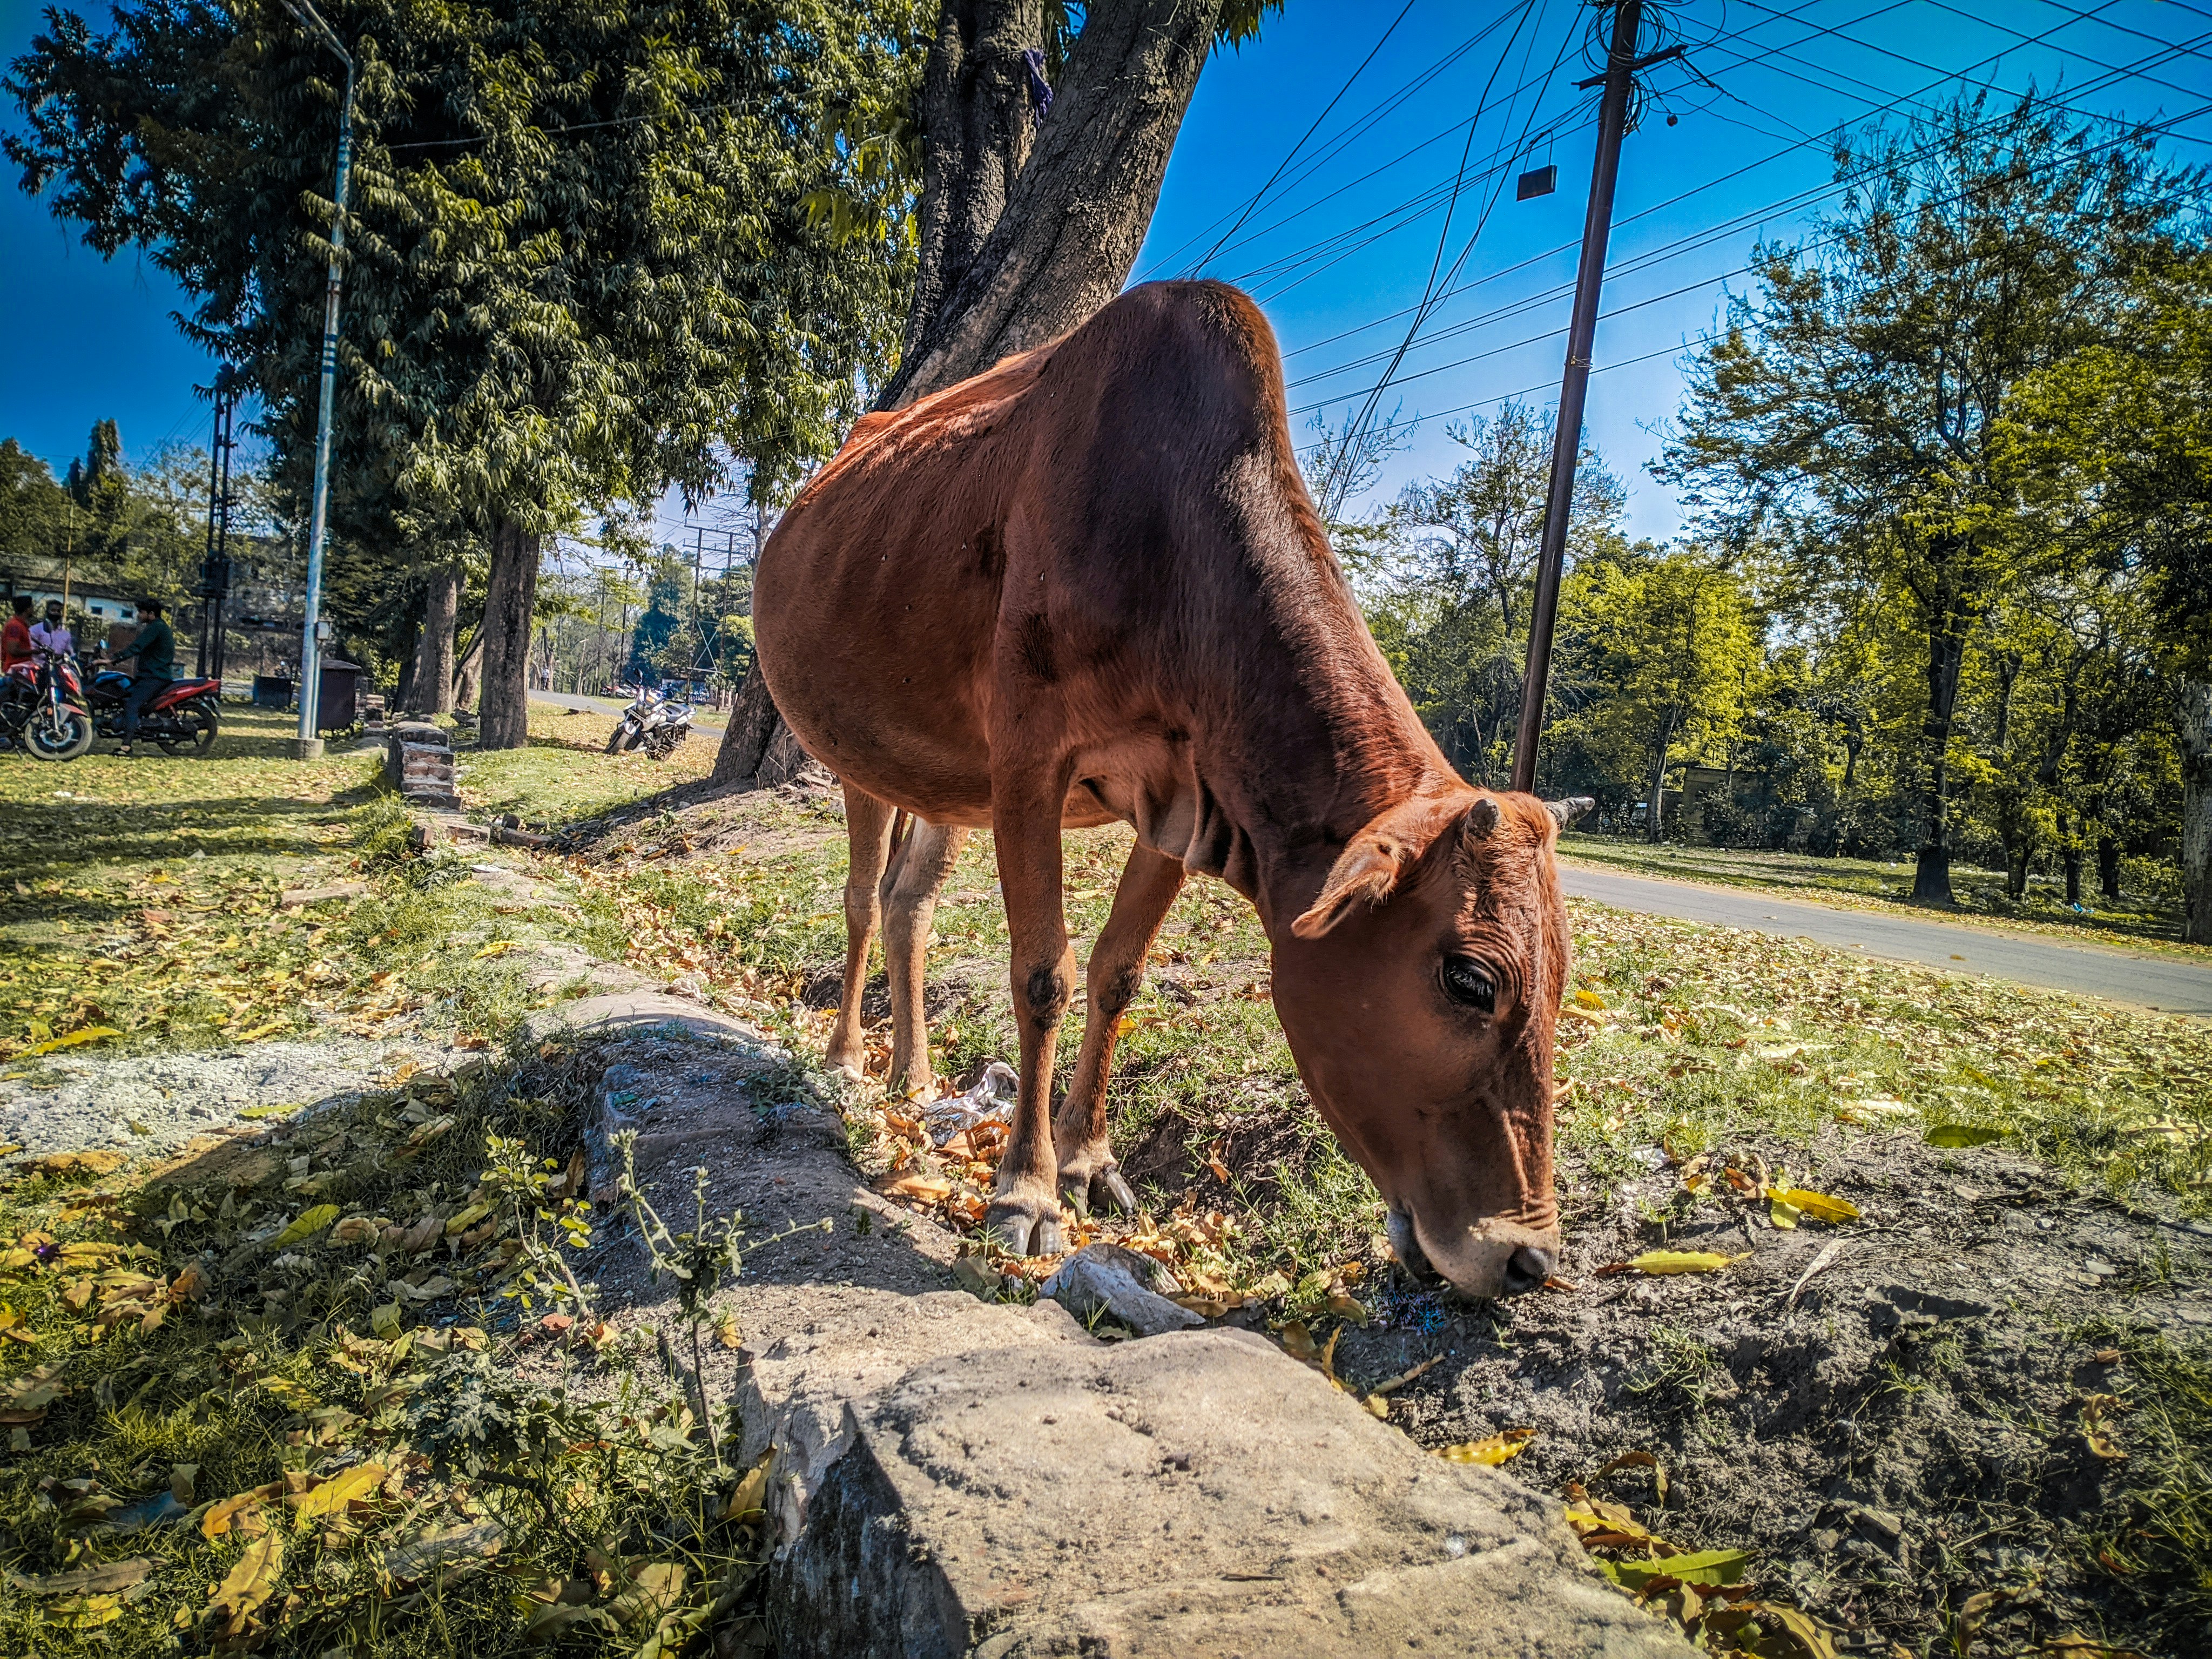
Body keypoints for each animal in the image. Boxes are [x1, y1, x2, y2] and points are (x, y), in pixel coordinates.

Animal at [753, 280, 1590, 1300]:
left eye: (1560, 982)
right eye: (1470, 978)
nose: (1529, 1257)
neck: (1175, 546)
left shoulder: (1179, 801)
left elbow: (1117, 973)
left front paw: (1087, 1159)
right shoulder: (1028, 762)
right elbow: (1043, 973)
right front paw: (1025, 1191)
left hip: (946, 785)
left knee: (910, 902)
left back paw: (912, 1075)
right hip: (860, 761)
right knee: (862, 899)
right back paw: (845, 1061)